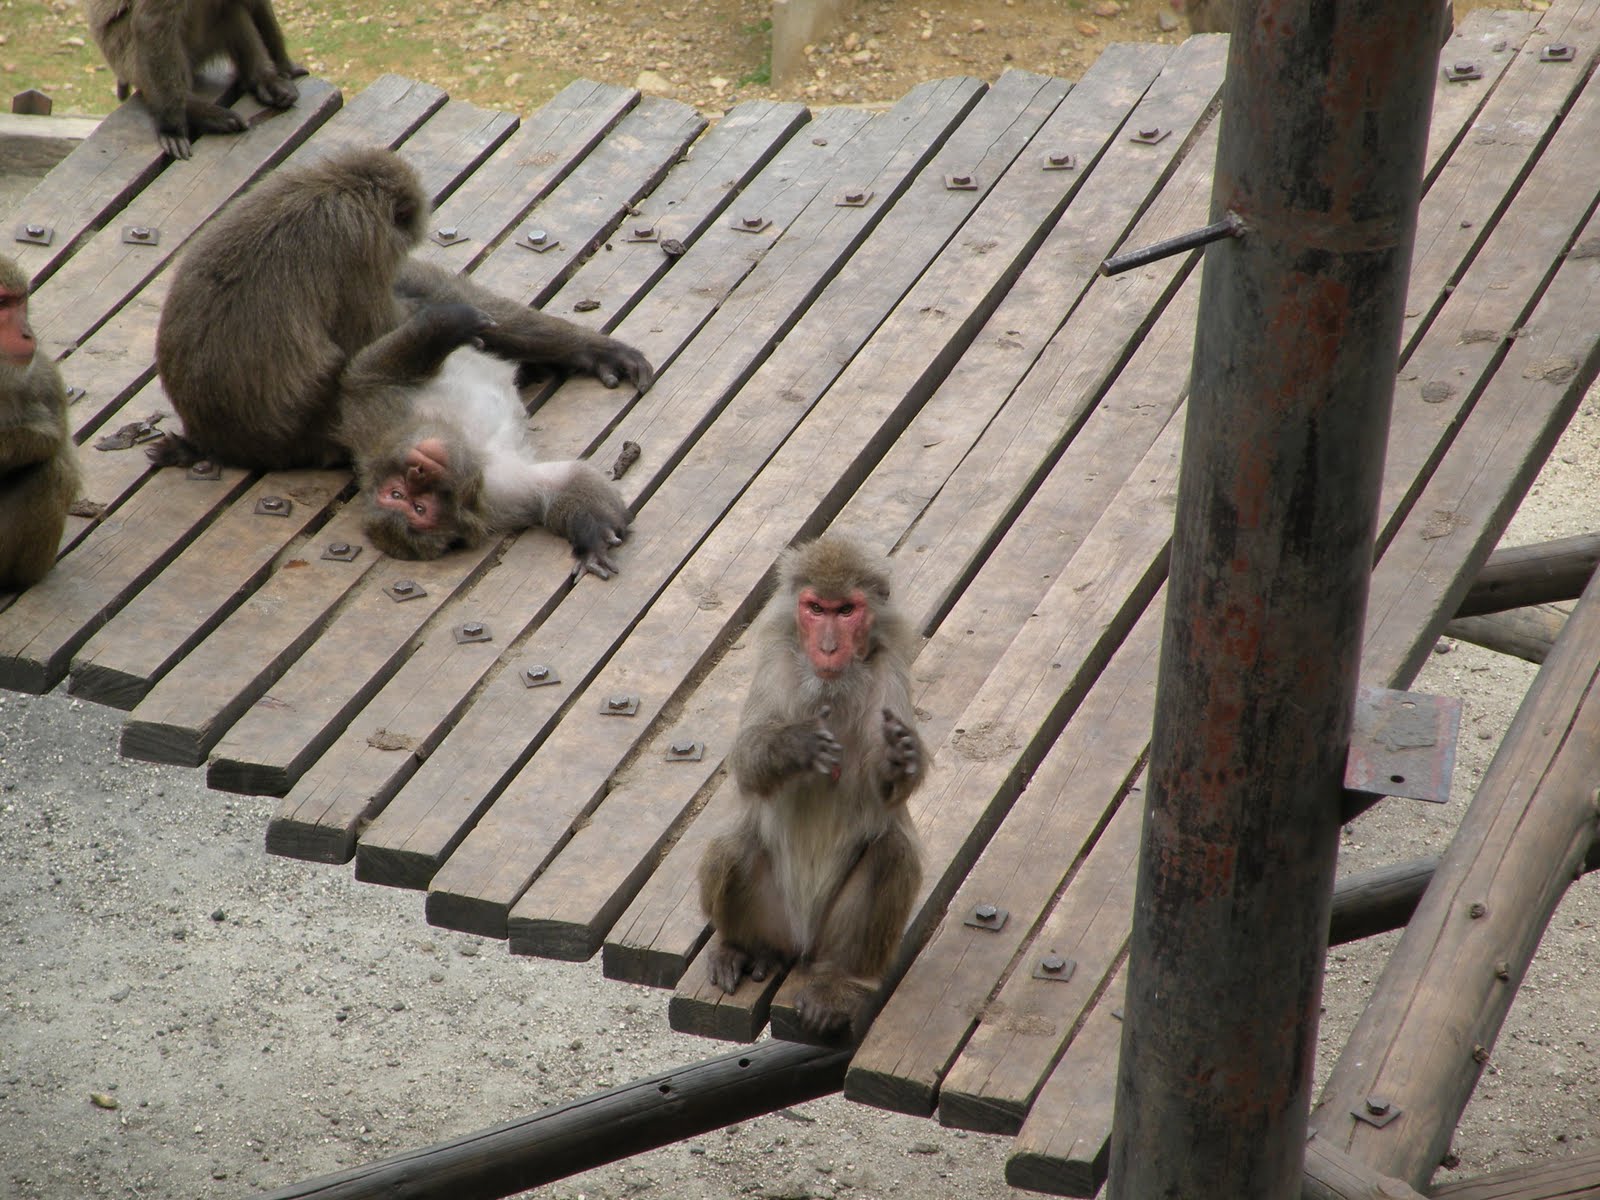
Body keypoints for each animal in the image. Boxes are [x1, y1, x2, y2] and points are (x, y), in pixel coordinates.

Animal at [86, 0, 307, 160]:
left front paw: (285, 67)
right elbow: (150, 22)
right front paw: (172, 129)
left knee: (230, 8)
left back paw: (262, 79)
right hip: (124, 52)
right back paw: (196, 110)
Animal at [152, 147, 652, 577]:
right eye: (408, 501)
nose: (418, 469)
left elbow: (368, 367)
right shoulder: (490, 491)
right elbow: (565, 484)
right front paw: (592, 536)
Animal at [698, 533, 925, 1040]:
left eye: (847, 611)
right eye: (816, 608)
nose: (827, 646)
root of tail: (798, 941)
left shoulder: (891, 675)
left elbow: (890, 795)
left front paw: (901, 761)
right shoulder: (776, 664)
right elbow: (746, 760)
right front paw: (796, 744)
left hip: (832, 935)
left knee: (893, 852)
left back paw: (841, 982)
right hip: (771, 913)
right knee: (733, 845)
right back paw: (740, 947)